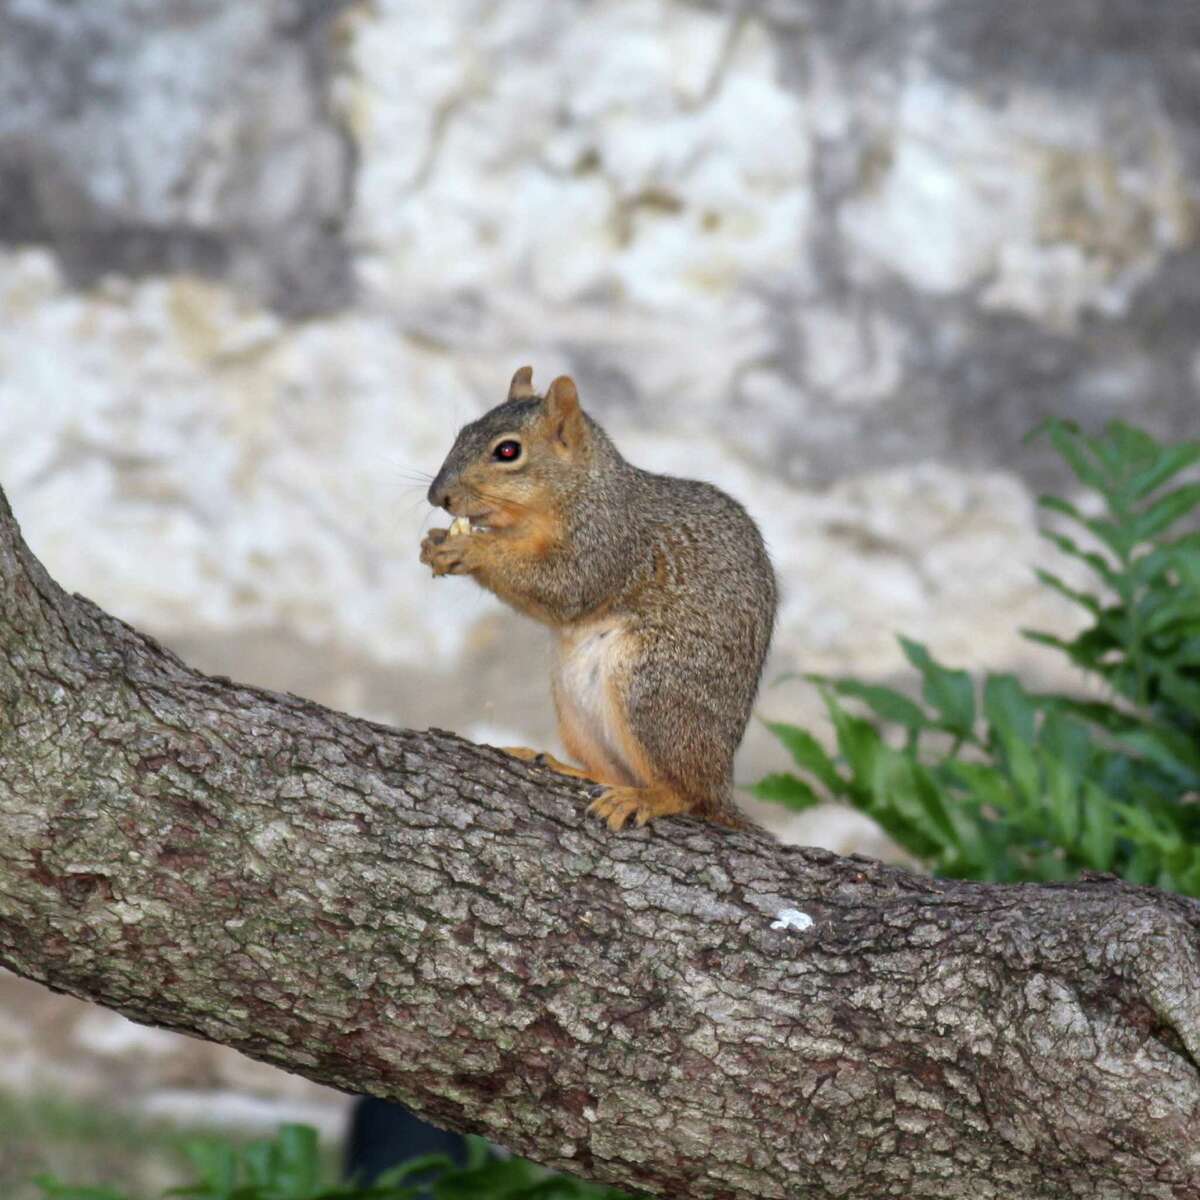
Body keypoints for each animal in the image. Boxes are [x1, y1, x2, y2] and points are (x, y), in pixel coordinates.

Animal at [420, 366, 777, 831]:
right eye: (463, 432)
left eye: (508, 451)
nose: (437, 497)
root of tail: (723, 785)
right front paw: (434, 542)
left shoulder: (606, 543)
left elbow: (563, 586)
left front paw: (471, 549)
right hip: (576, 708)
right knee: (615, 772)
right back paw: (557, 764)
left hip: (653, 690)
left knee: (688, 794)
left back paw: (647, 799)